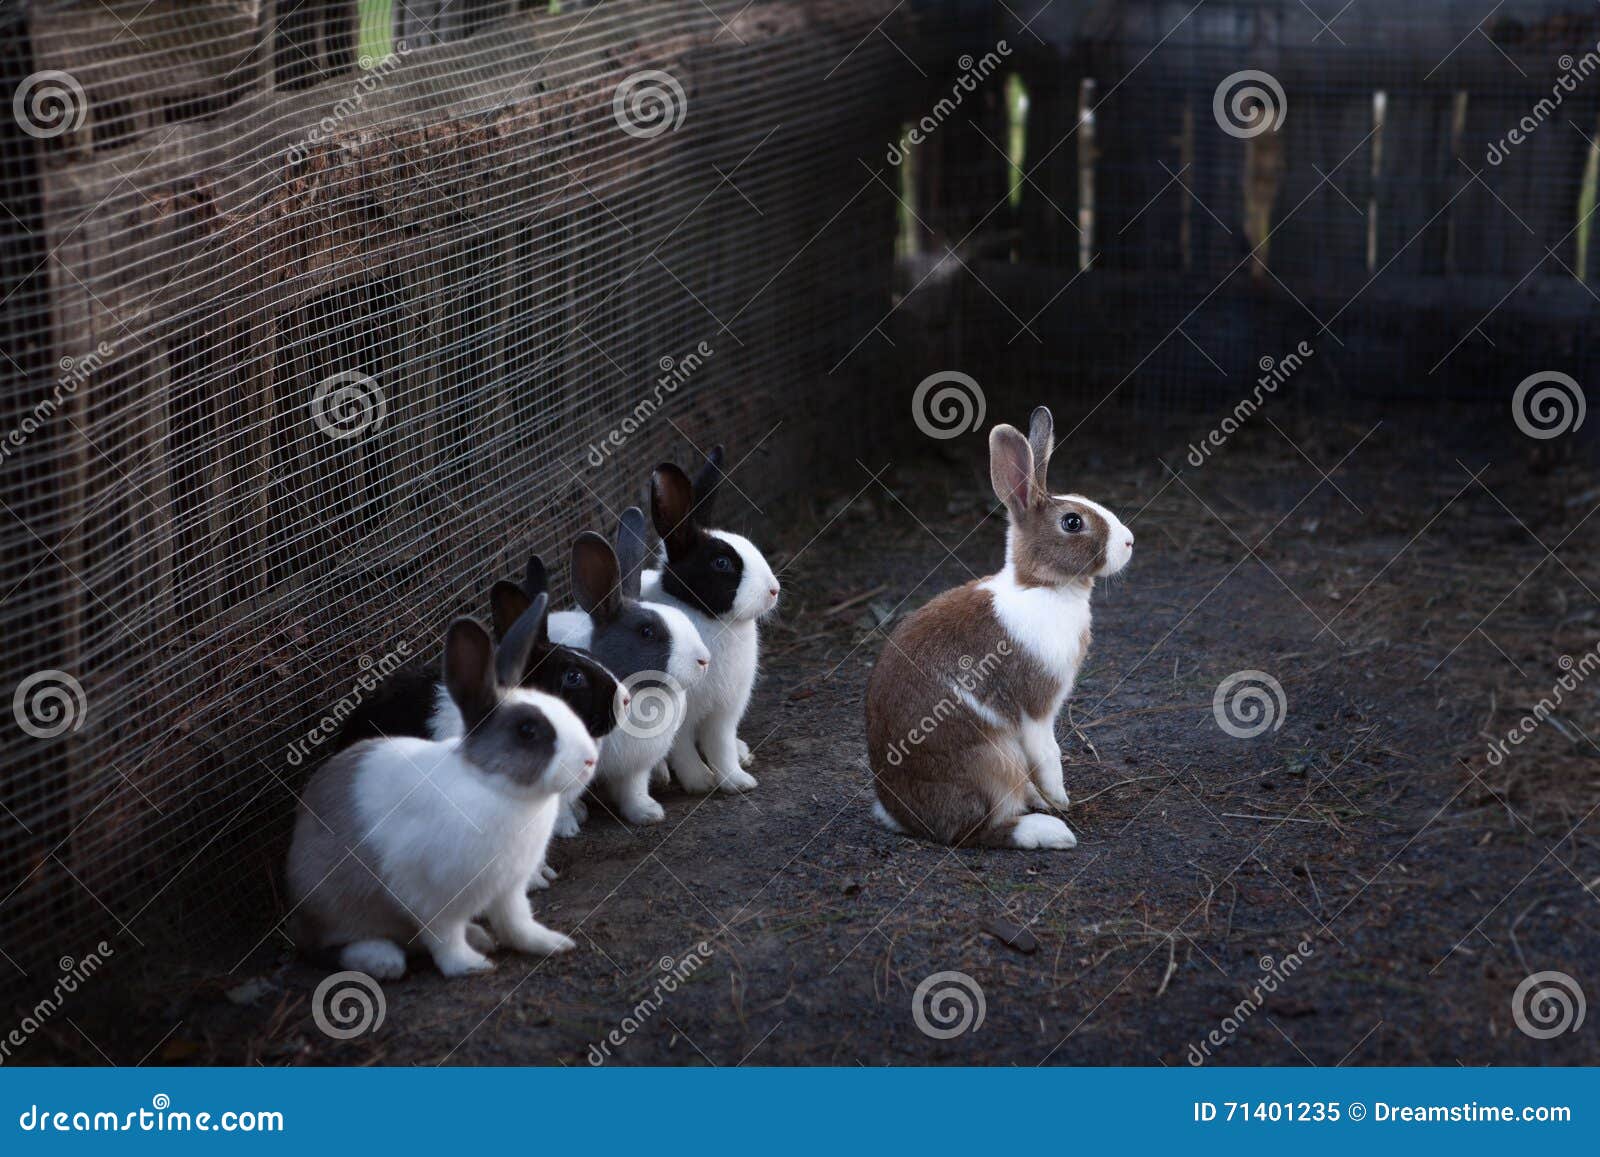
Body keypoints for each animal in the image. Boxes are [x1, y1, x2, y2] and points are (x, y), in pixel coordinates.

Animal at [286, 605, 599, 979]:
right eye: (527, 730)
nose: (590, 759)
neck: (496, 787)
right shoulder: (429, 899)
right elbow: (445, 938)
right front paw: (469, 966)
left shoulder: (508, 888)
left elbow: (517, 922)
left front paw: (550, 943)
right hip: (331, 904)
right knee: (331, 946)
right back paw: (381, 959)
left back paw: (479, 936)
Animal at [546, 507, 712, 833]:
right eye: (647, 631)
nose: (704, 660)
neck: (634, 692)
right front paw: (565, 827)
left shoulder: (635, 766)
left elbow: (633, 790)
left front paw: (647, 814)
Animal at [640, 444, 780, 796]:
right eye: (721, 563)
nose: (774, 590)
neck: (715, 621)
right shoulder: (678, 715)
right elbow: (683, 750)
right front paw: (700, 782)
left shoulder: (725, 713)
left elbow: (721, 746)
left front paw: (738, 782)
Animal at [865, 405, 1134, 849]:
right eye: (1072, 522)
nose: (1128, 542)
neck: (1042, 586)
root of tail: (906, 818)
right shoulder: (1037, 710)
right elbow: (1049, 755)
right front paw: (1062, 800)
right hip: (992, 761)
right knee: (976, 831)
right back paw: (1049, 831)